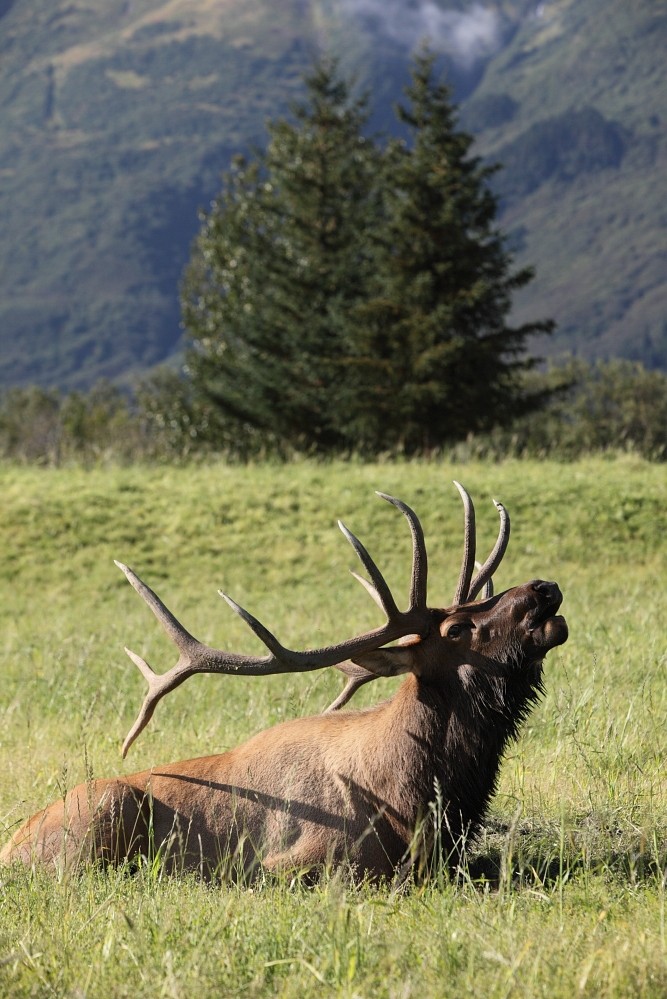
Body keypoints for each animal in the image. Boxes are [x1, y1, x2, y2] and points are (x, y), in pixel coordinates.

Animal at [1, 484, 568, 883]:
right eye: (456, 629)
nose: (544, 587)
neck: (416, 795)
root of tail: (11, 850)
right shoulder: (295, 862)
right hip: (102, 813)